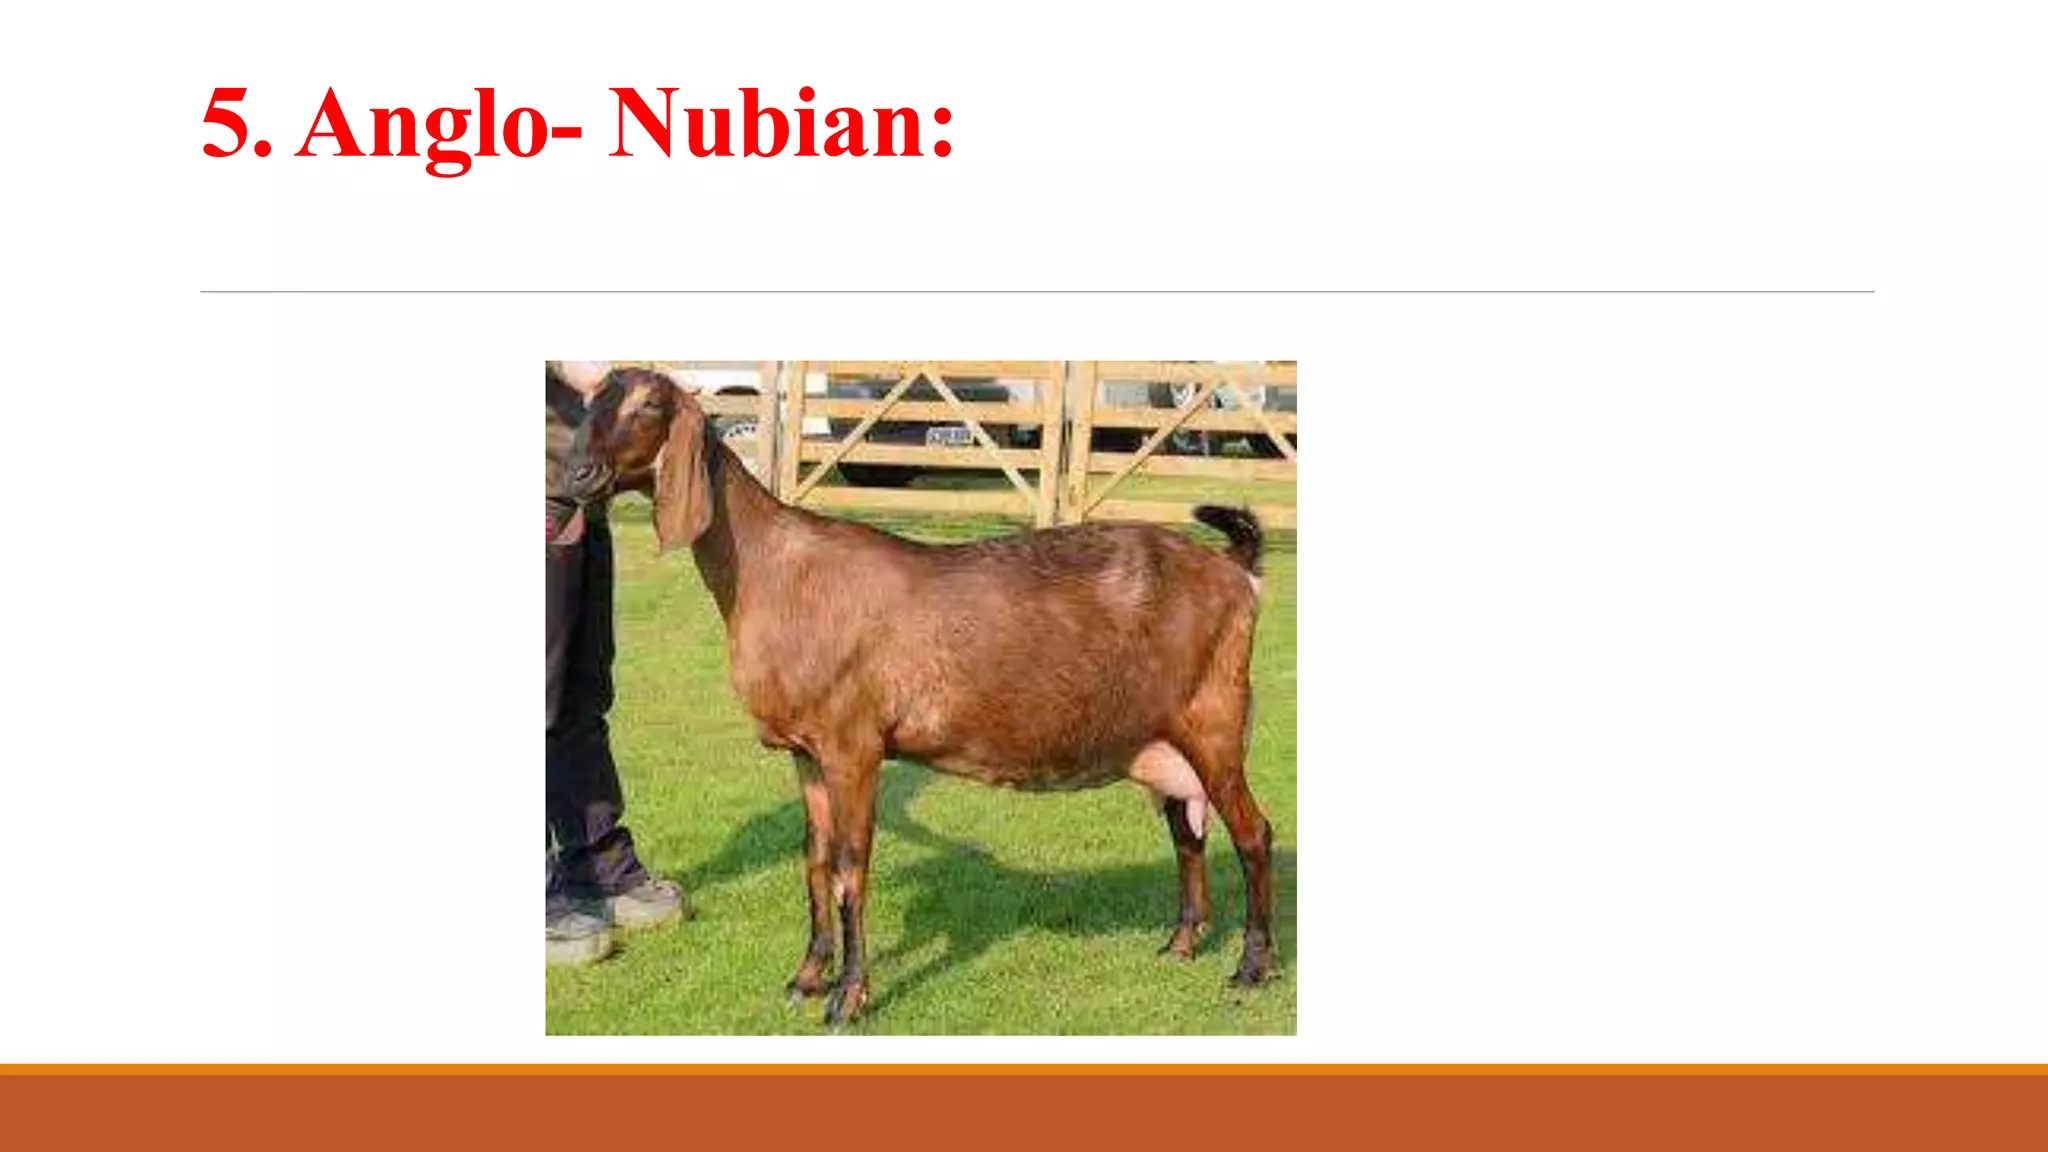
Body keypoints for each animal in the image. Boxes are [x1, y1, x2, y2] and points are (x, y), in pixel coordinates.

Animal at [578, 368, 1279, 1025]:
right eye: (589, 400)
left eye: (648, 404)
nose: (581, 473)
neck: (773, 570)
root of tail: (1235, 570)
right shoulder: (807, 753)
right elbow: (814, 864)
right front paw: (807, 978)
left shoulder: (853, 747)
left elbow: (850, 869)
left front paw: (849, 998)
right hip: (1161, 740)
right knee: (1186, 830)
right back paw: (1182, 943)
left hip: (1215, 721)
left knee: (1253, 833)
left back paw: (1252, 967)